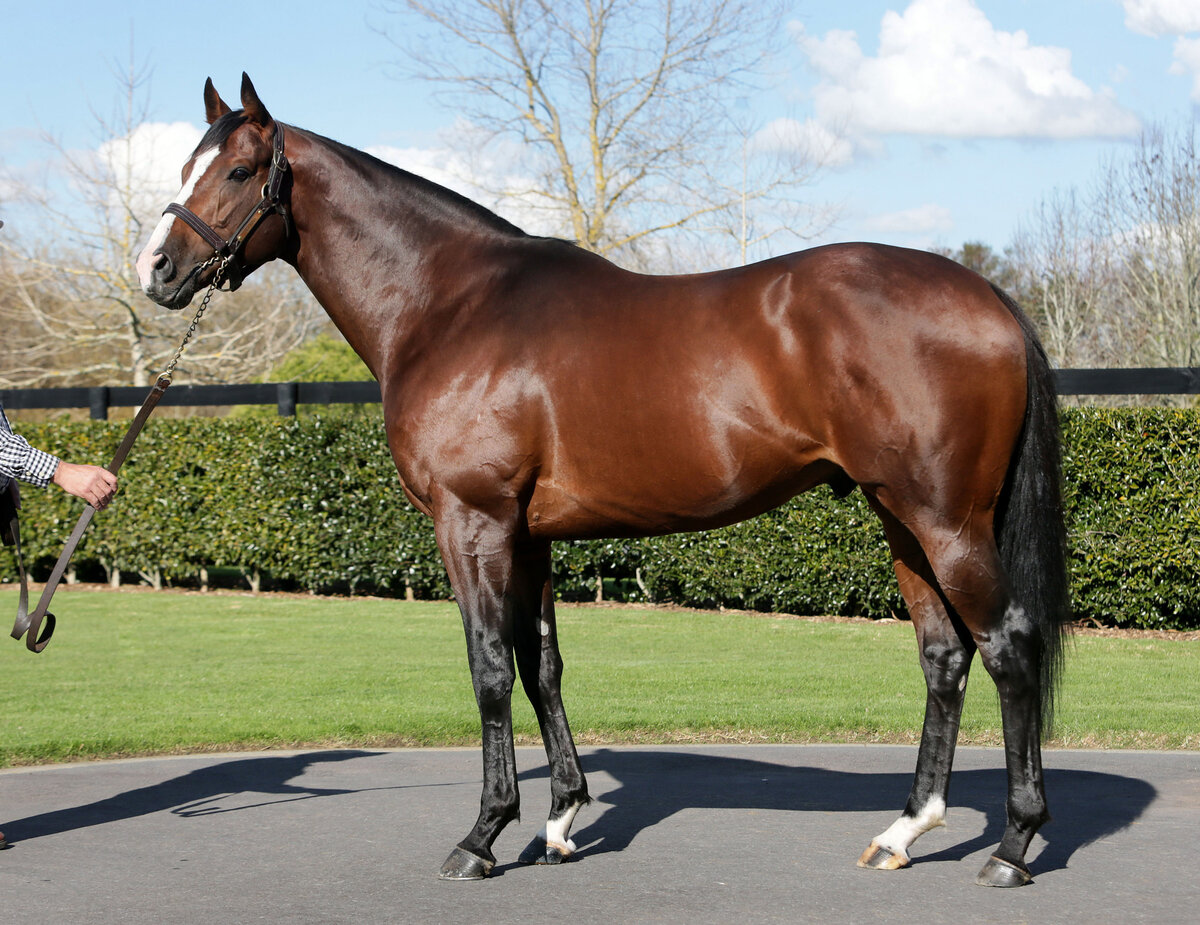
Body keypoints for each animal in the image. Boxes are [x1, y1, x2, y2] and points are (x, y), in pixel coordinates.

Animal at [136, 74, 1070, 888]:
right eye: (186, 165)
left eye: (239, 170)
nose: (156, 269)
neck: (451, 304)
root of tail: (988, 295)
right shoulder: (528, 534)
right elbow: (541, 664)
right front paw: (559, 819)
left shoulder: (471, 522)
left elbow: (488, 668)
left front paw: (482, 835)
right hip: (900, 517)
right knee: (944, 655)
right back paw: (905, 831)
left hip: (946, 520)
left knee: (1008, 646)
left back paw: (1013, 845)